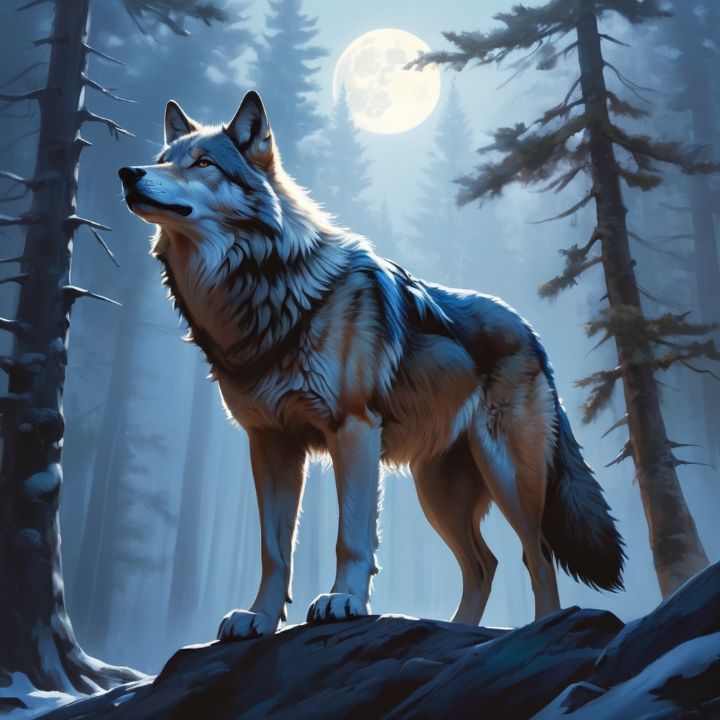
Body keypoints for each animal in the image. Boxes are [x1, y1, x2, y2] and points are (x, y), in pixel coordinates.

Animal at [118, 91, 625, 640]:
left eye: (203, 163)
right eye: (163, 159)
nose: (127, 172)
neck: (267, 293)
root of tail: (531, 330)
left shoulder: (354, 429)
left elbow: (351, 537)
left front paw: (343, 601)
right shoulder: (270, 443)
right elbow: (274, 550)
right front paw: (258, 618)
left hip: (508, 476)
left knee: (538, 556)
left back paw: (543, 627)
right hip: (437, 492)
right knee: (484, 564)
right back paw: (456, 628)